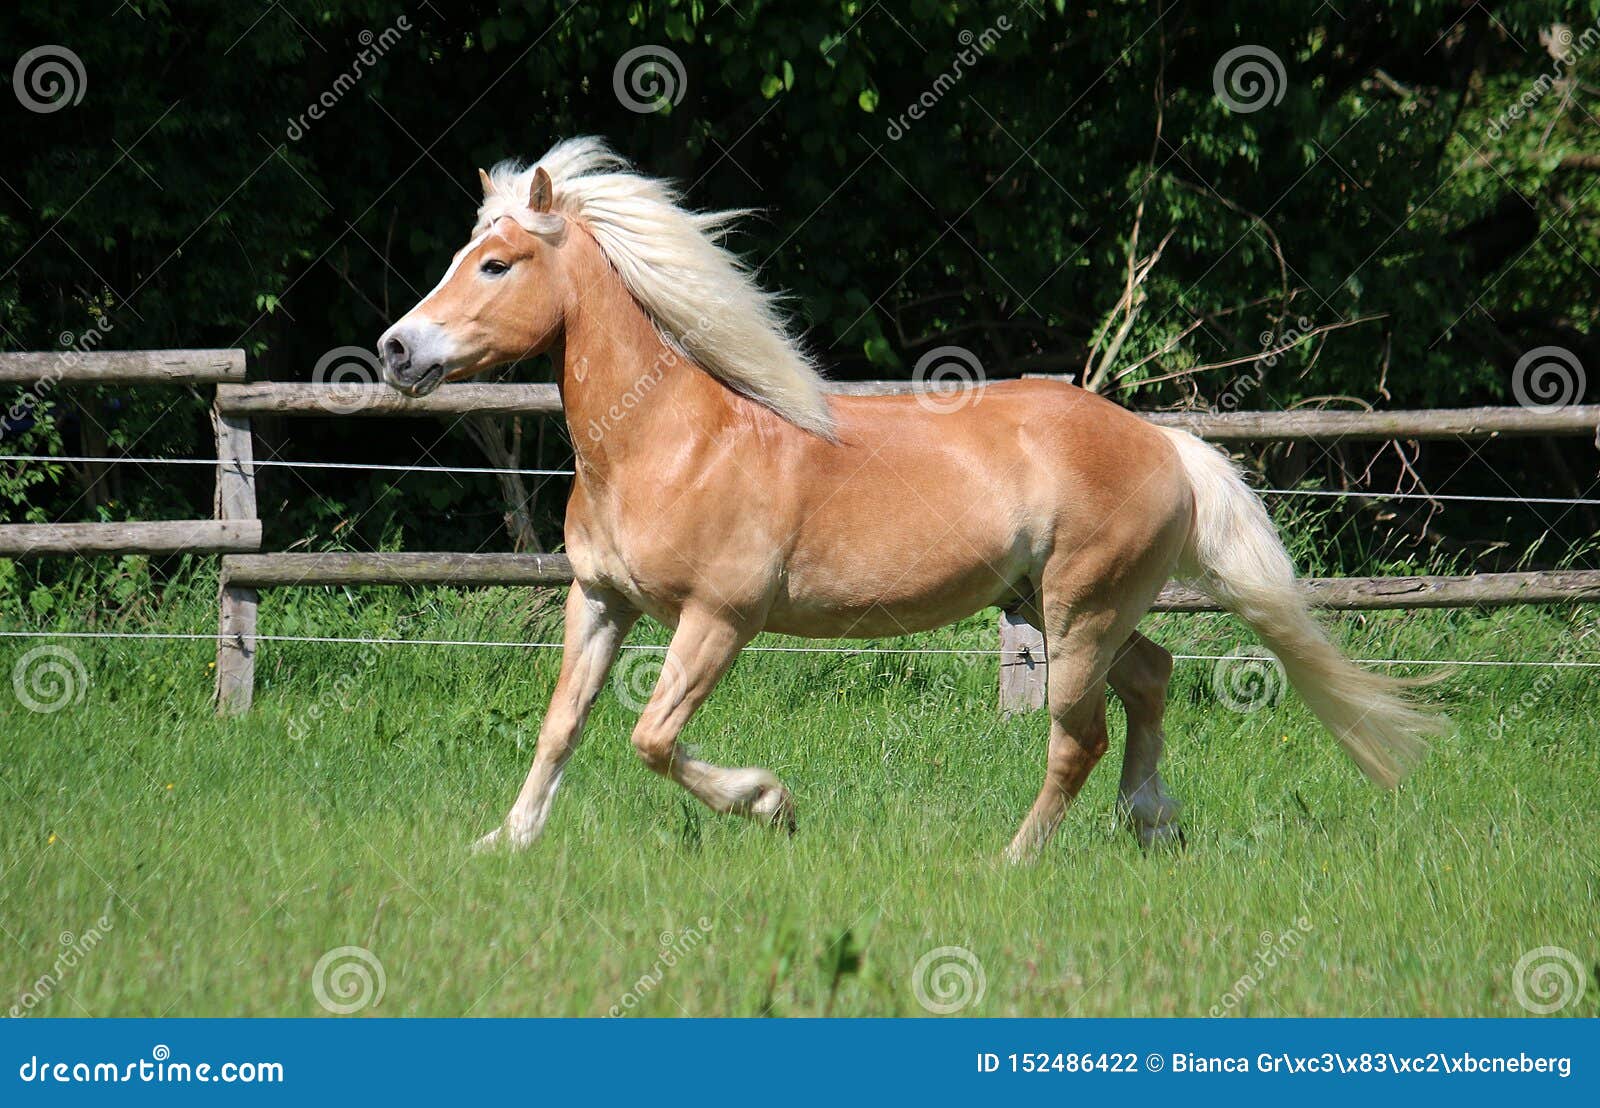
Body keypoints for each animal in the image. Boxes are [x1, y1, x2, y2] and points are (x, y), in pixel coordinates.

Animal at [376, 137, 1443, 862]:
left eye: (497, 264)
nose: (393, 349)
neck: (669, 442)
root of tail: (1163, 445)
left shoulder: (718, 619)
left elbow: (651, 737)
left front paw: (771, 803)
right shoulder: (599, 600)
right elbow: (563, 724)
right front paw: (504, 843)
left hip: (1080, 608)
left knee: (1079, 736)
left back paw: (1014, 858)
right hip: (1057, 603)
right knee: (1152, 676)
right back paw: (1150, 821)